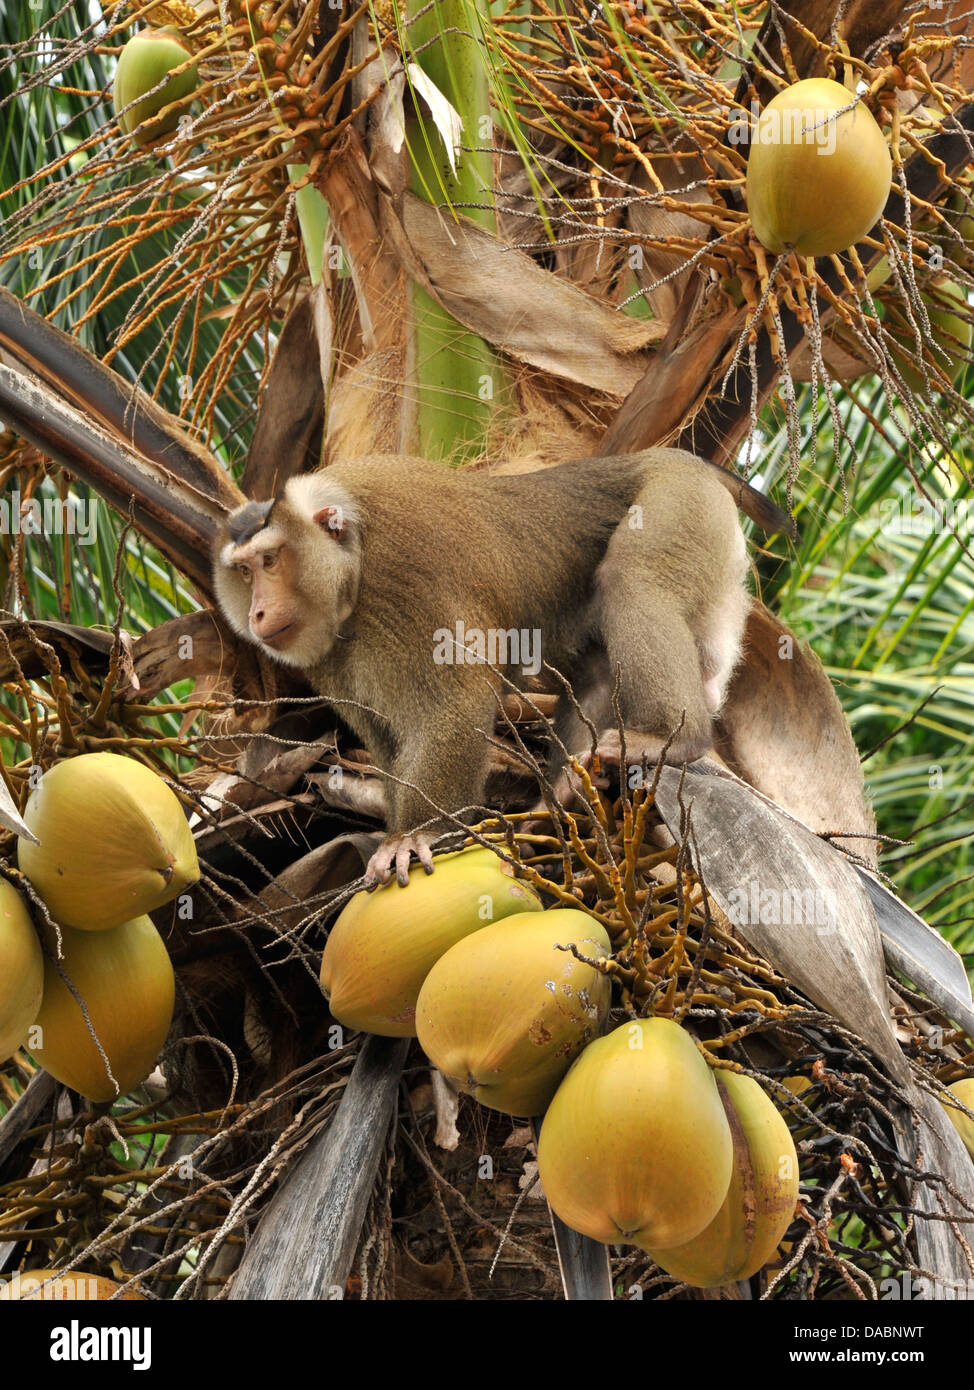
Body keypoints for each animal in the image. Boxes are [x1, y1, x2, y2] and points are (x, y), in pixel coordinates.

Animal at [212, 448, 790, 887]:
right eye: (244, 572)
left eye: (271, 561)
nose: (257, 612)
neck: (352, 568)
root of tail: (669, 453)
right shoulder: (328, 657)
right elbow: (386, 740)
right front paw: (399, 828)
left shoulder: (405, 576)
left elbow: (454, 704)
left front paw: (416, 835)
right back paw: (564, 796)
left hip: (681, 501)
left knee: (632, 577)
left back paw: (674, 737)